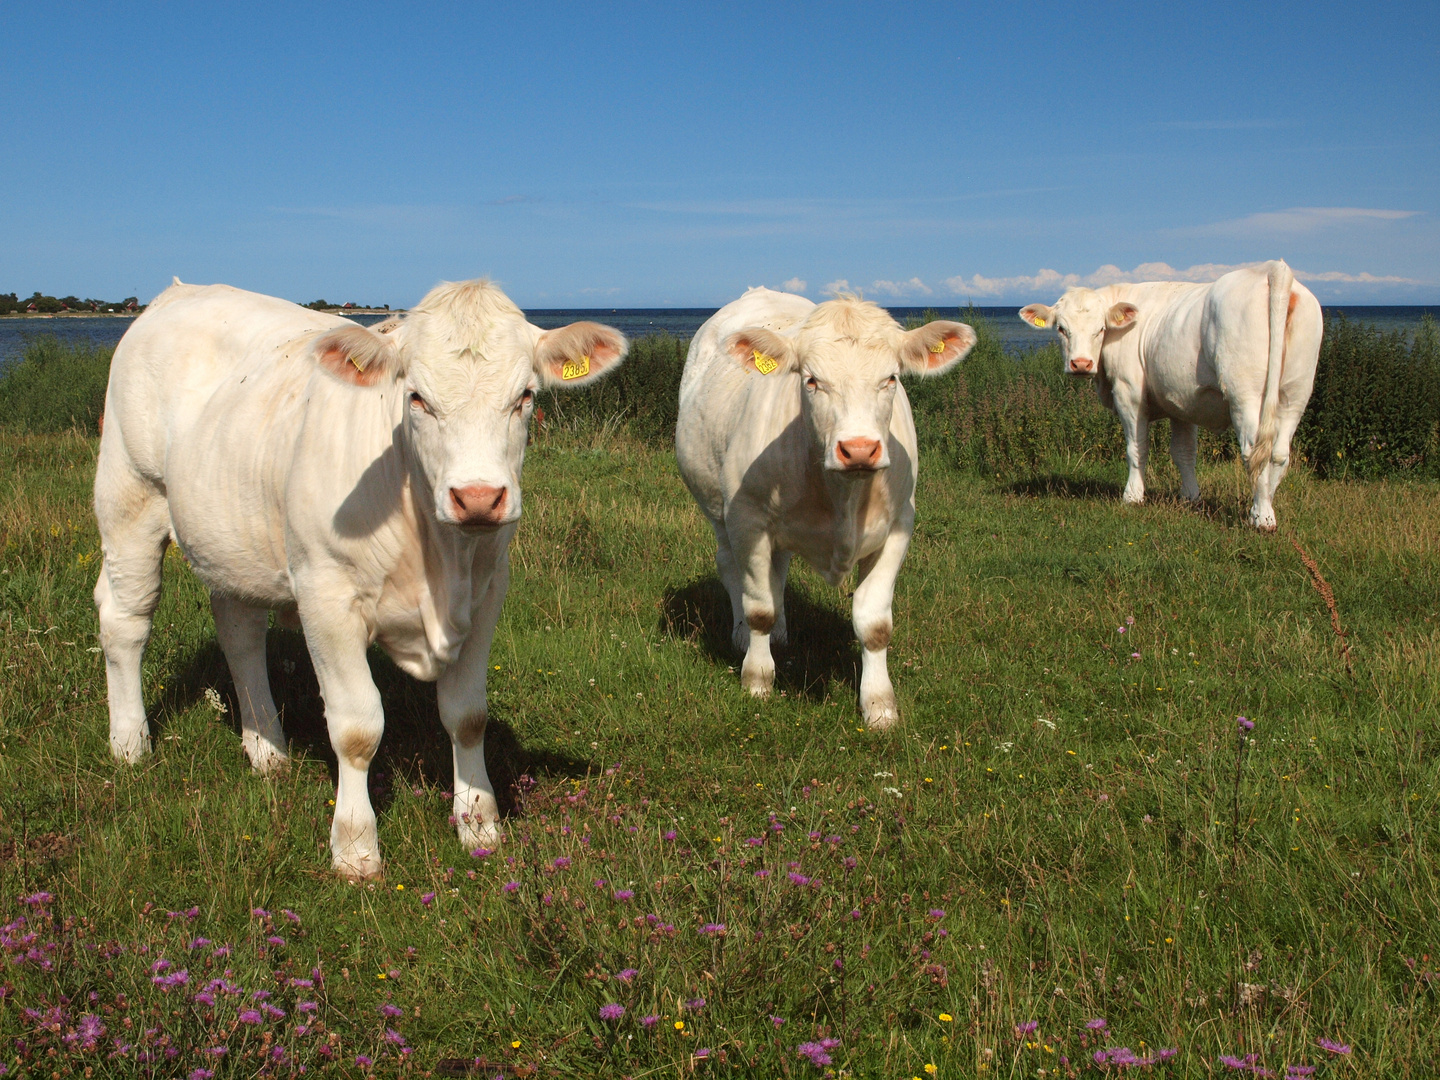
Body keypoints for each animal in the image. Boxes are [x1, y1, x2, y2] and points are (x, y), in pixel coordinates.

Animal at [94, 278, 626, 879]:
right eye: (416, 398)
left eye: (526, 397)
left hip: (231, 537)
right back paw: (130, 744)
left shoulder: (488, 590)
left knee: (239, 634)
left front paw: (478, 822)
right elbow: (356, 727)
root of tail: (180, 292)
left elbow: (467, 716)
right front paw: (354, 848)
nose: (477, 498)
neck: (438, 560)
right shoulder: (326, 595)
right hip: (130, 498)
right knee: (126, 621)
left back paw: (267, 750)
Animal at [676, 288, 975, 729]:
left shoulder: (899, 525)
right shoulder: (748, 519)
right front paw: (757, 680)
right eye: (812, 380)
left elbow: (874, 624)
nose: (859, 449)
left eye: (891, 378)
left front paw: (879, 706)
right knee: (732, 568)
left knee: (777, 572)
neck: (841, 495)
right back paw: (744, 635)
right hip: (717, 508)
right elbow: (759, 606)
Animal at [1019, 261, 1322, 529]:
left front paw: (1133, 496)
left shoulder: (1129, 393)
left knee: (1254, 451)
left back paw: (1261, 517)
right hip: (1296, 392)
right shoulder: (1183, 400)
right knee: (1280, 453)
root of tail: (1271, 269)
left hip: (1246, 394)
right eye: (1061, 329)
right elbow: (1184, 452)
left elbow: (1137, 447)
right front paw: (1190, 497)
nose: (1081, 364)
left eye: (1100, 329)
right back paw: (1266, 504)